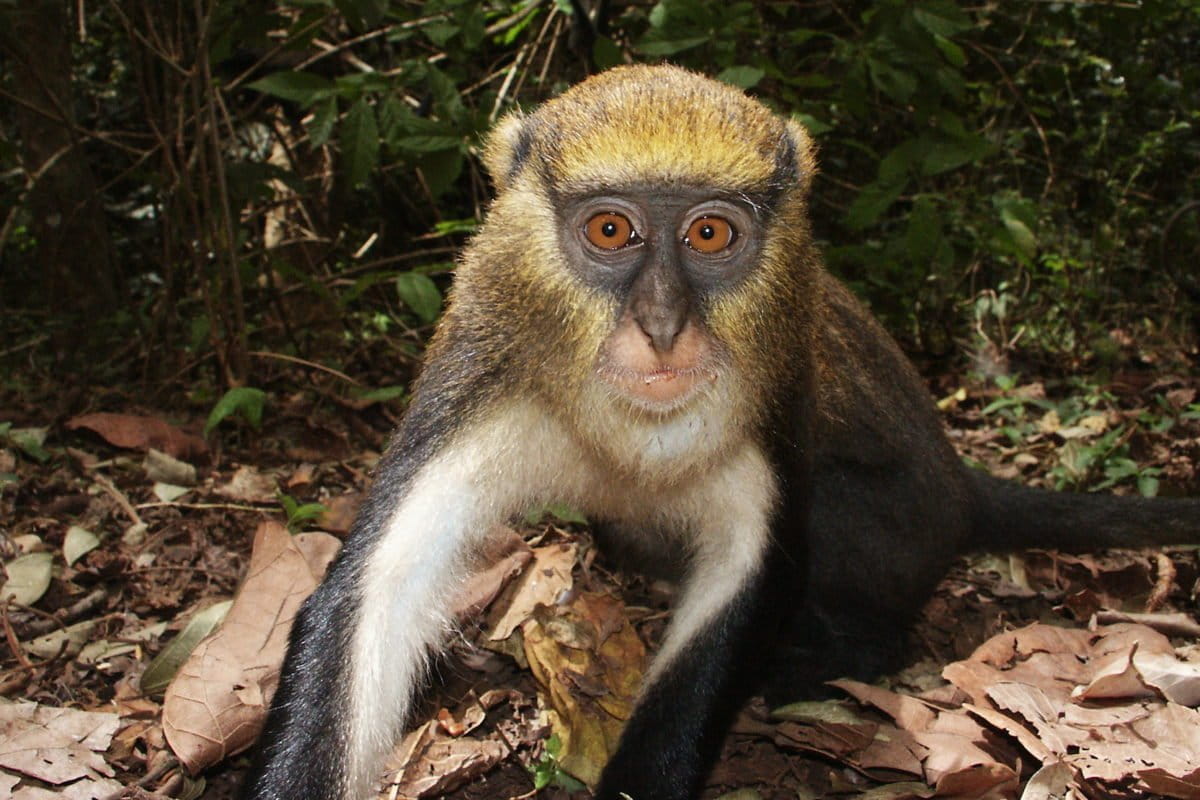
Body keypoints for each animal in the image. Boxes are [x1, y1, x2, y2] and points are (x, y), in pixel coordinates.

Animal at [240, 65, 1200, 800]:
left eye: (709, 232)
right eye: (611, 229)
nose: (664, 326)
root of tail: (963, 489)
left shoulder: (774, 400)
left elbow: (753, 576)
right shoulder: (481, 371)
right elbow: (376, 587)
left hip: (900, 524)